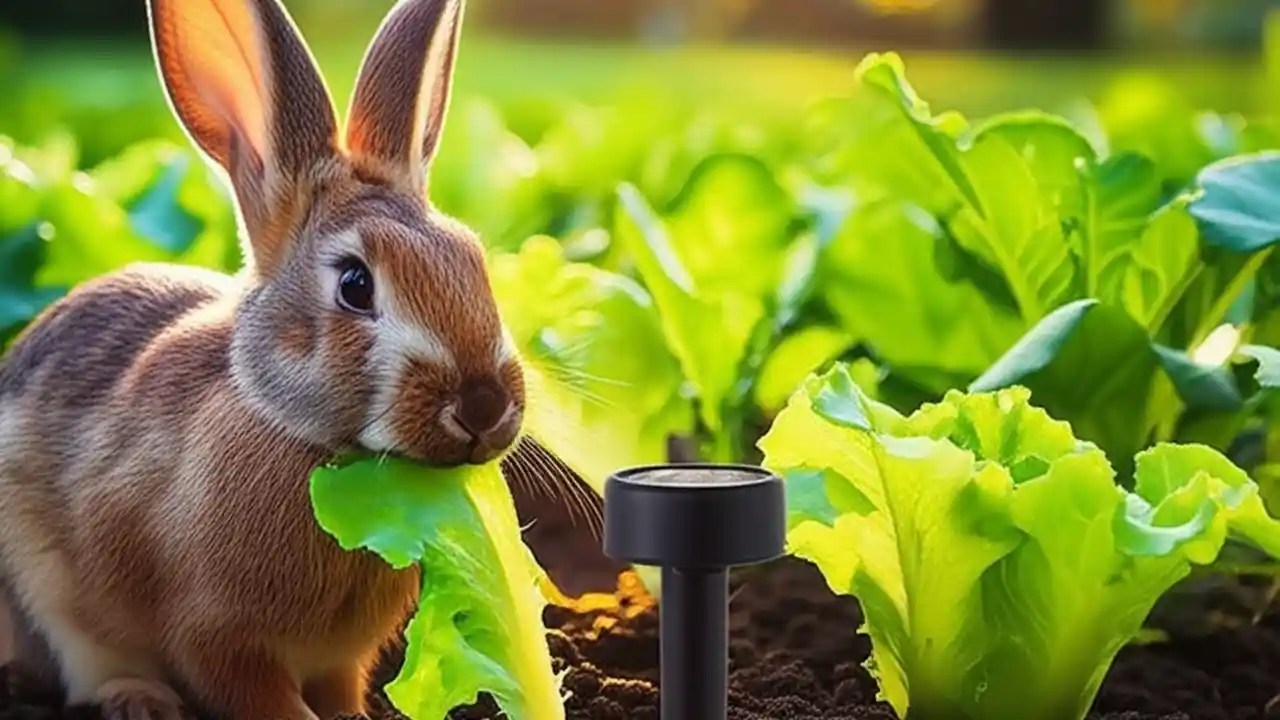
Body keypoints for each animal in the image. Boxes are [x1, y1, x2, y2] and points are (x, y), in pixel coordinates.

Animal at [0, 0, 526, 717]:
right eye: (355, 285)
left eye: (472, 258)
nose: (484, 404)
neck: (301, 436)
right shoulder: (214, 634)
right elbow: (252, 689)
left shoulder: (342, 657)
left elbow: (339, 691)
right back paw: (140, 699)